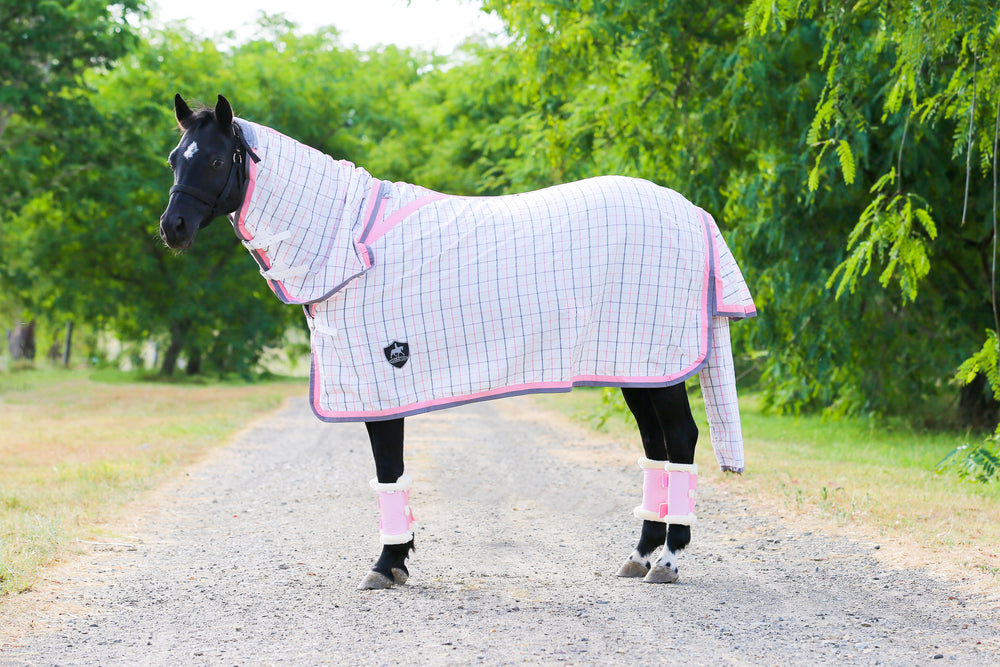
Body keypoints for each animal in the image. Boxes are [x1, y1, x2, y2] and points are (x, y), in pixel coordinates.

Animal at [159, 94, 756, 590]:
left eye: (216, 161)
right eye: (174, 158)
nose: (173, 228)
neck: (348, 247)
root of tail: (690, 211)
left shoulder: (383, 379)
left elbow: (389, 468)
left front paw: (387, 564)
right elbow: (391, 471)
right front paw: (397, 559)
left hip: (660, 361)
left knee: (680, 439)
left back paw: (668, 561)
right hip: (637, 364)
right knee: (656, 445)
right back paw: (638, 556)